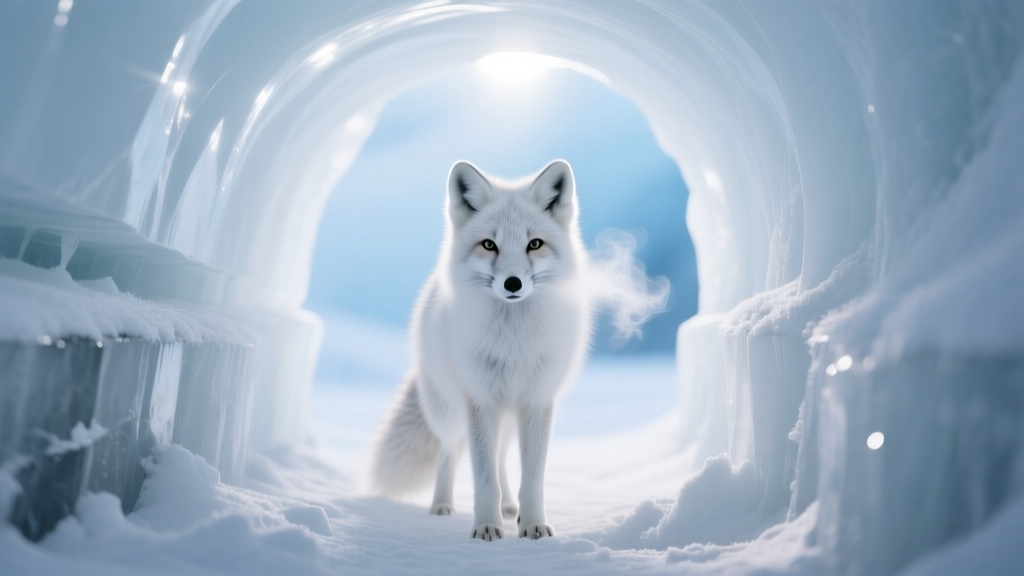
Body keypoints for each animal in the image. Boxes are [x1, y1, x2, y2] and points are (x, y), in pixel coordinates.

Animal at [369, 159, 591, 541]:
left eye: (535, 244)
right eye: (489, 244)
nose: (513, 283)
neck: (514, 342)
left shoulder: (536, 400)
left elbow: (532, 478)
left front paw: (532, 525)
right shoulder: (480, 400)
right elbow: (484, 478)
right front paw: (487, 527)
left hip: (507, 418)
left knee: (501, 459)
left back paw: (510, 508)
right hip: (450, 413)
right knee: (449, 453)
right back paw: (442, 506)